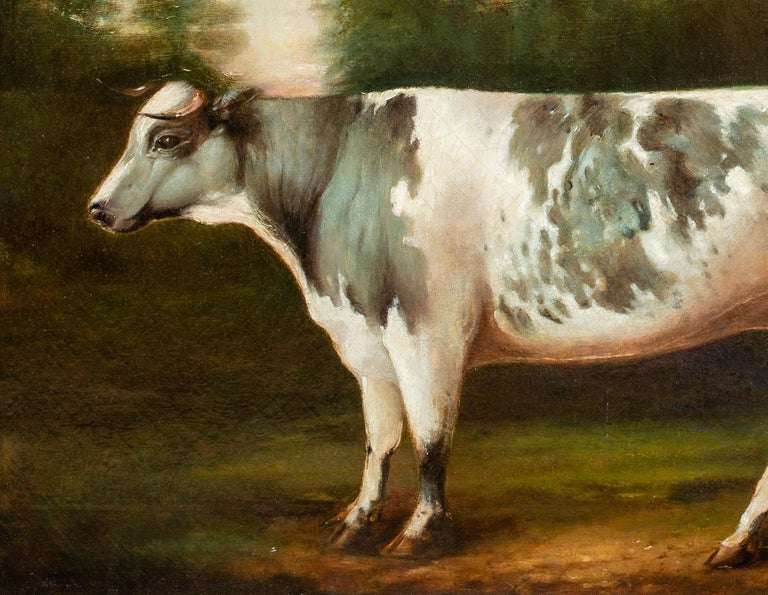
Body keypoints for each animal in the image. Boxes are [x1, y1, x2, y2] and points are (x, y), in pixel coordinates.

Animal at [89, 81, 768, 567]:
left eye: (166, 141)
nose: (96, 209)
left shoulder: (426, 329)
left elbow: (429, 440)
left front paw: (420, 533)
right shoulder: (366, 336)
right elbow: (379, 439)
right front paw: (355, 521)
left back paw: (738, 540)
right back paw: (741, 544)